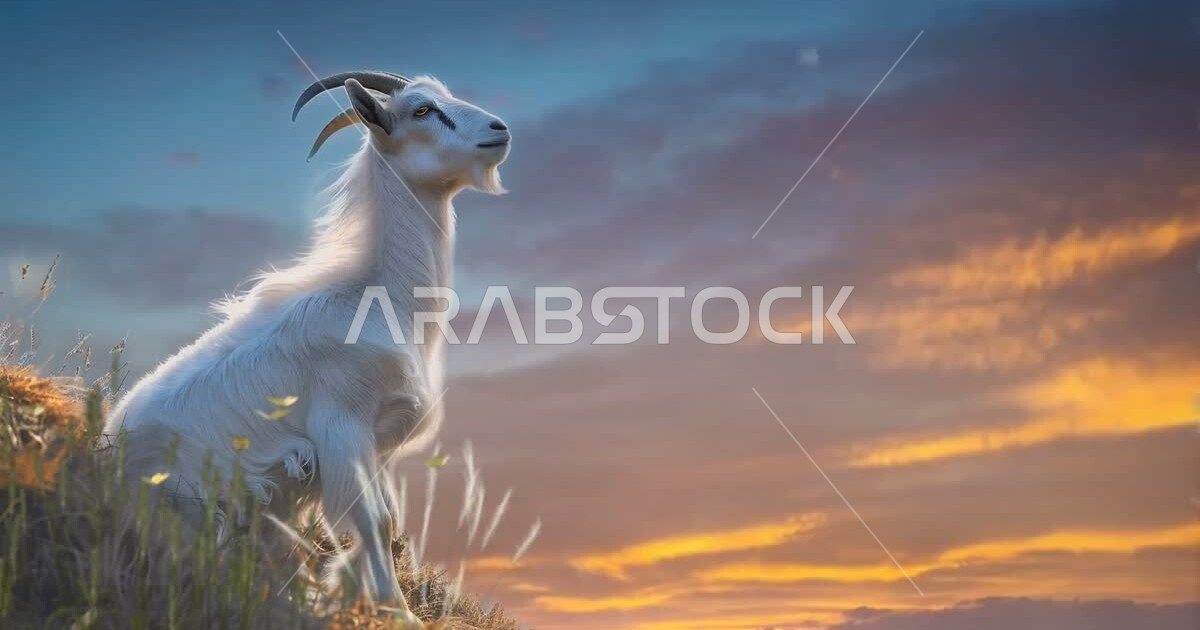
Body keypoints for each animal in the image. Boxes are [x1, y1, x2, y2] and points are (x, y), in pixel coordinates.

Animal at [105, 70, 510, 626]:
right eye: (423, 110)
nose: (499, 129)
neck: (375, 296)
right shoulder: (341, 425)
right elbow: (375, 521)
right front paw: (395, 610)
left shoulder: (372, 442)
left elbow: (383, 519)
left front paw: (353, 591)